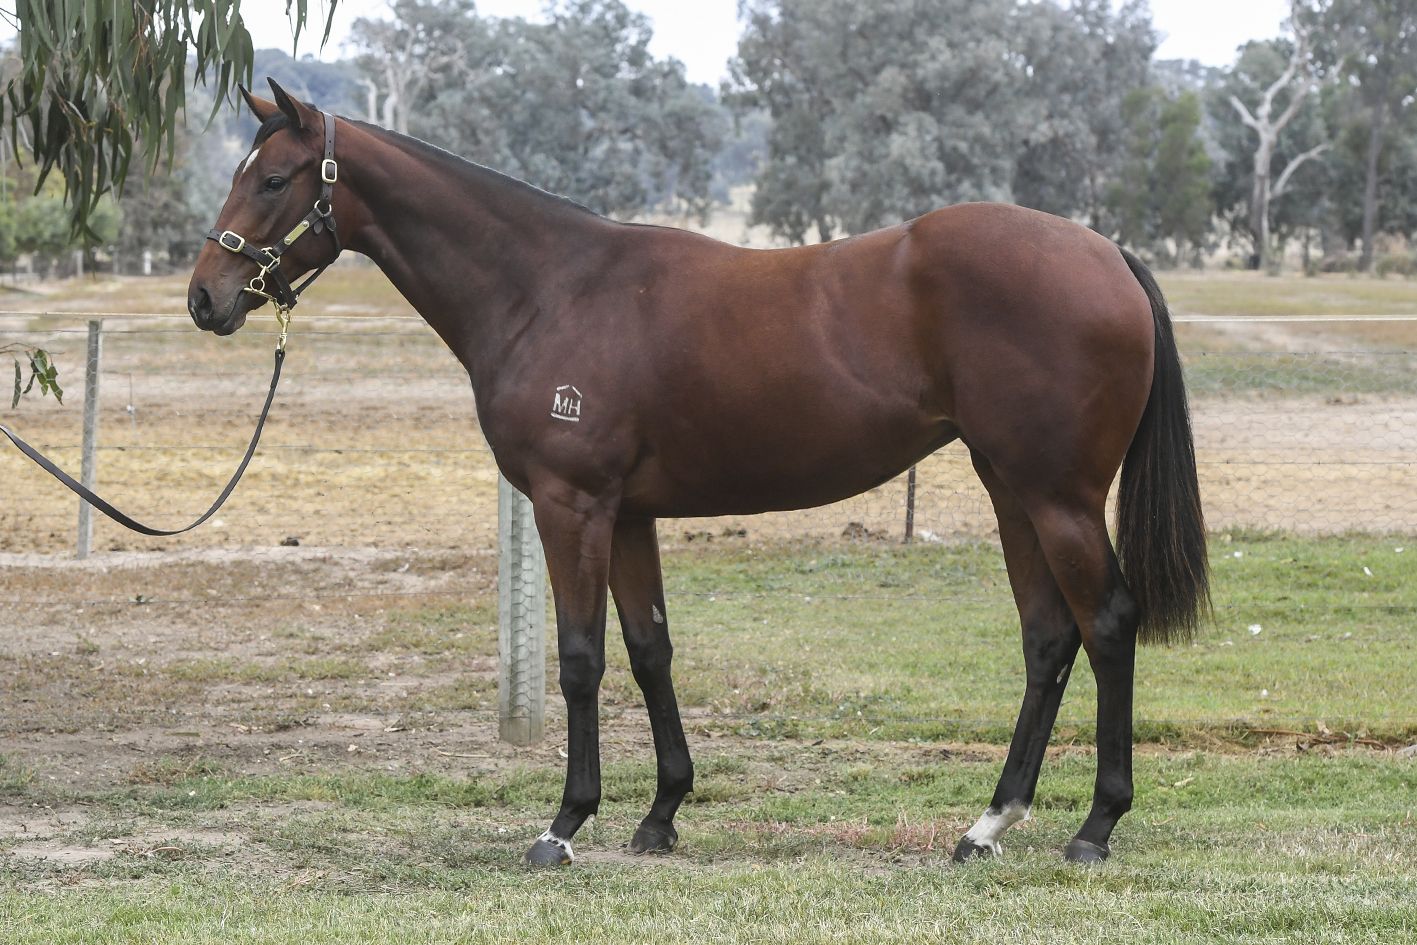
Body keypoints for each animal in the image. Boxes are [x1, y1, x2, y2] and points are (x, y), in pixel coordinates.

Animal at [188, 79, 1208, 867]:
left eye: (272, 178)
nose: (206, 297)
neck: (549, 287)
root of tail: (1105, 251)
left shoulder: (571, 506)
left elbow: (582, 658)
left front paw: (564, 825)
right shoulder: (629, 514)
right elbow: (650, 650)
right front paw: (660, 814)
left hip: (1057, 496)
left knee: (1106, 623)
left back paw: (1094, 826)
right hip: (1009, 488)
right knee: (1047, 637)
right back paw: (986, 825)